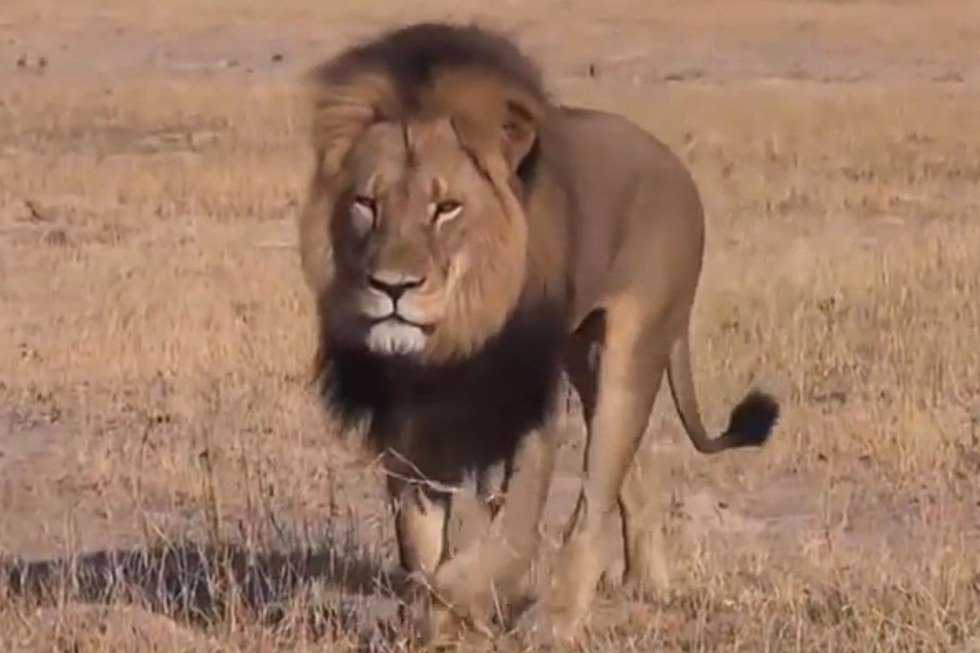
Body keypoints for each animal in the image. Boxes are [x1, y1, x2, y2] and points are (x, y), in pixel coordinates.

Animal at [298, 23, 779, 642]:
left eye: (446, 208)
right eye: (365, 203)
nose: (392, 286)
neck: (454, 339)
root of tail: (672, 161)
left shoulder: (526, 403)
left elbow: (512, 535)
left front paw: (459, 596)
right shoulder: (408, 419)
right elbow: (418, 538)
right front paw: (433, 618)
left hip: (632, 348)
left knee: (594, 501)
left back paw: (557, 620)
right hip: (586, 356)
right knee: (632, 475)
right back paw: (647, 585)